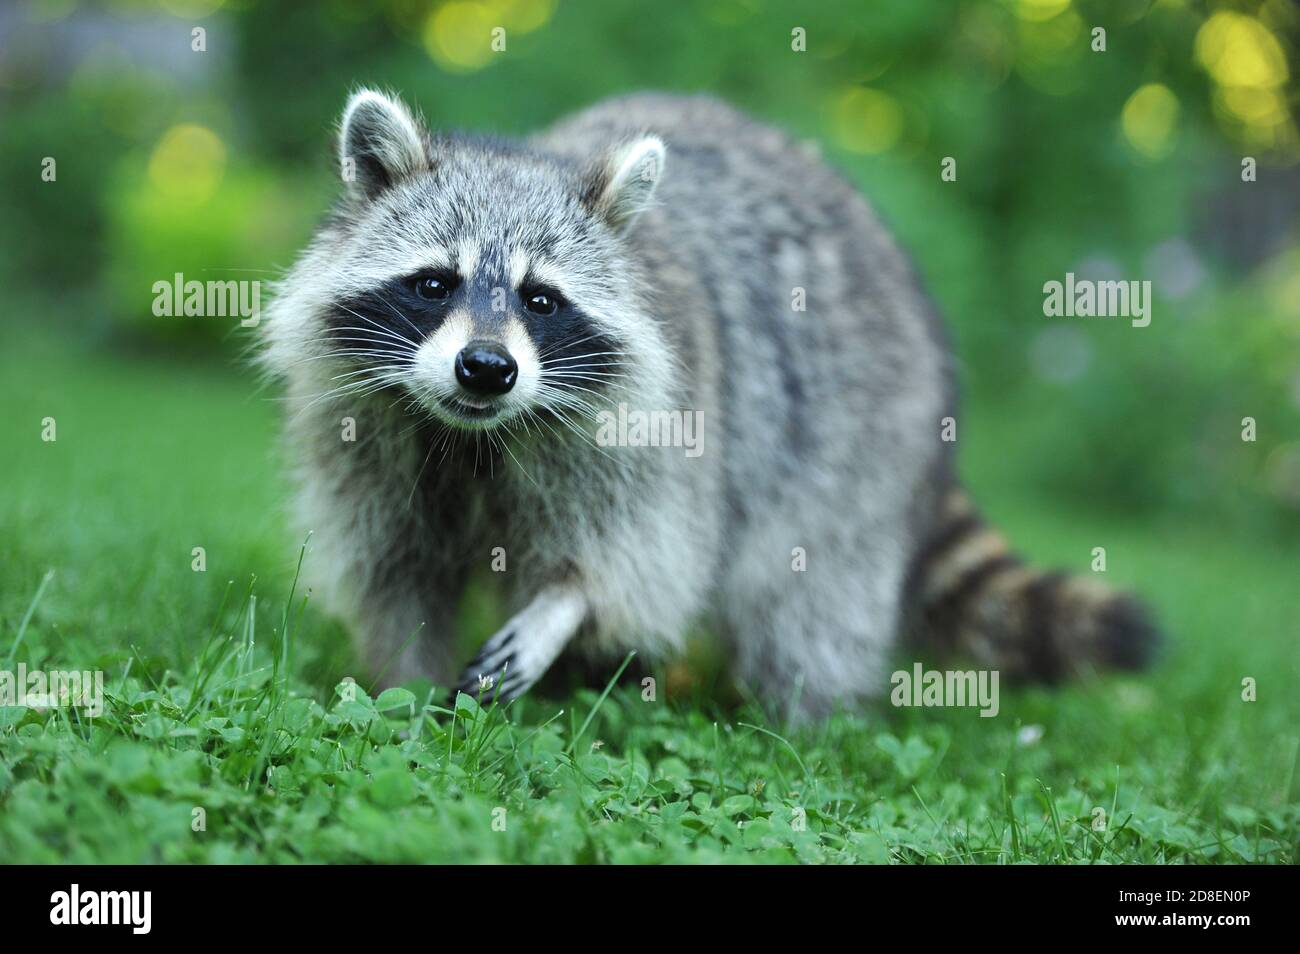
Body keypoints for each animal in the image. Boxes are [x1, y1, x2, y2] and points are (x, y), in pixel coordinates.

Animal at [261, 89, 1160, 718]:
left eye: (541, 300)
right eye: (435, 284)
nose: (486, 369)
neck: (474, 433)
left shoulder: (659, 429)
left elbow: (646, 559)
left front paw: (565, 605)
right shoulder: (364, 431)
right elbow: (396, 568)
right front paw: (403, 687)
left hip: (859, 435)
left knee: (814, 594)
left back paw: (802, 719)